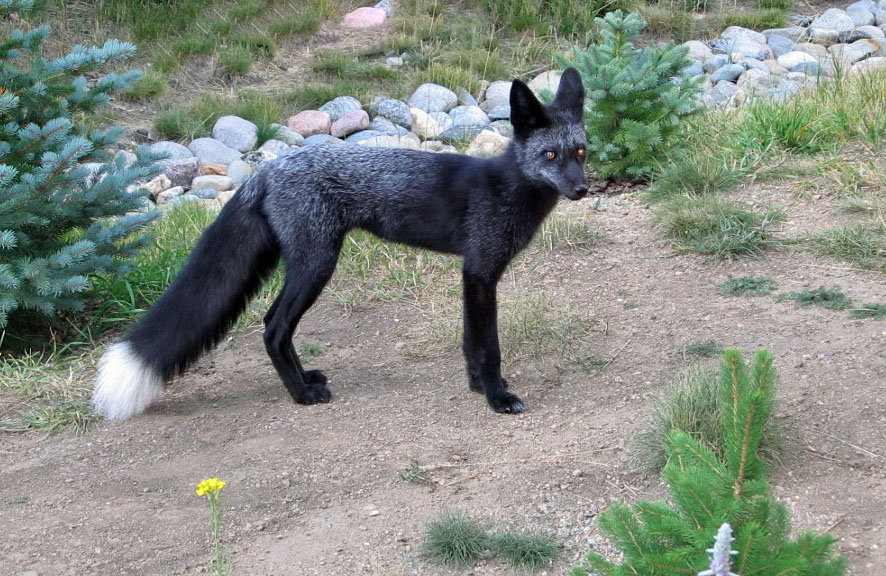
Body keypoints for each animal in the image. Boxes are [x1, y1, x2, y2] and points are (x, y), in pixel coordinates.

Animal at [92, 67, 590, 420]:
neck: (508, 187)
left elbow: (471, 342)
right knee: (274, 327)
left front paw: (475, 387)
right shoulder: (480, 271)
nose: (583, 189)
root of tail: (267, 168)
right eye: (550, 155)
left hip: (310, 264)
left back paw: (304, 379)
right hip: (318, 265)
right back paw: (302, 396)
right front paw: (497, 397)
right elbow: (489, 346)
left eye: (580, 152)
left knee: (274, 326)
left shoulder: (472, 273)